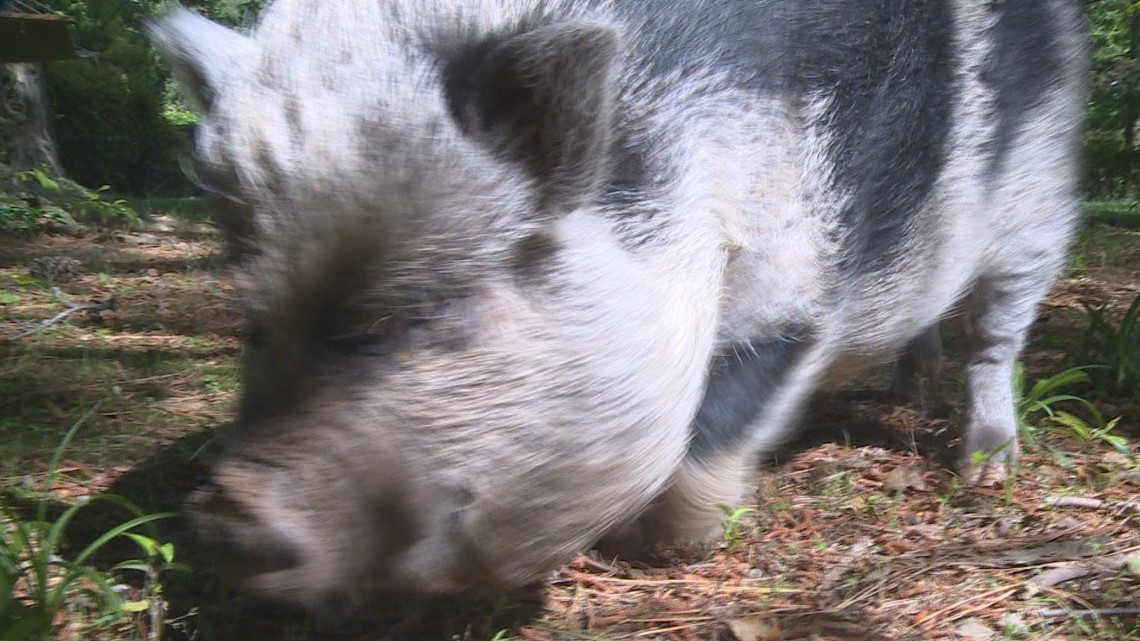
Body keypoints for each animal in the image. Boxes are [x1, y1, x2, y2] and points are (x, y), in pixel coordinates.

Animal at [150, 0, 1088, 600]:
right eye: (254, 322)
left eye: (421, 310)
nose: (225, 507)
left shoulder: (792, 283)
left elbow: (715, 425)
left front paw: (667, 548)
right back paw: (907, 388)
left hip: (1039, 202)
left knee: (997, 337)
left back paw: (987, 468)